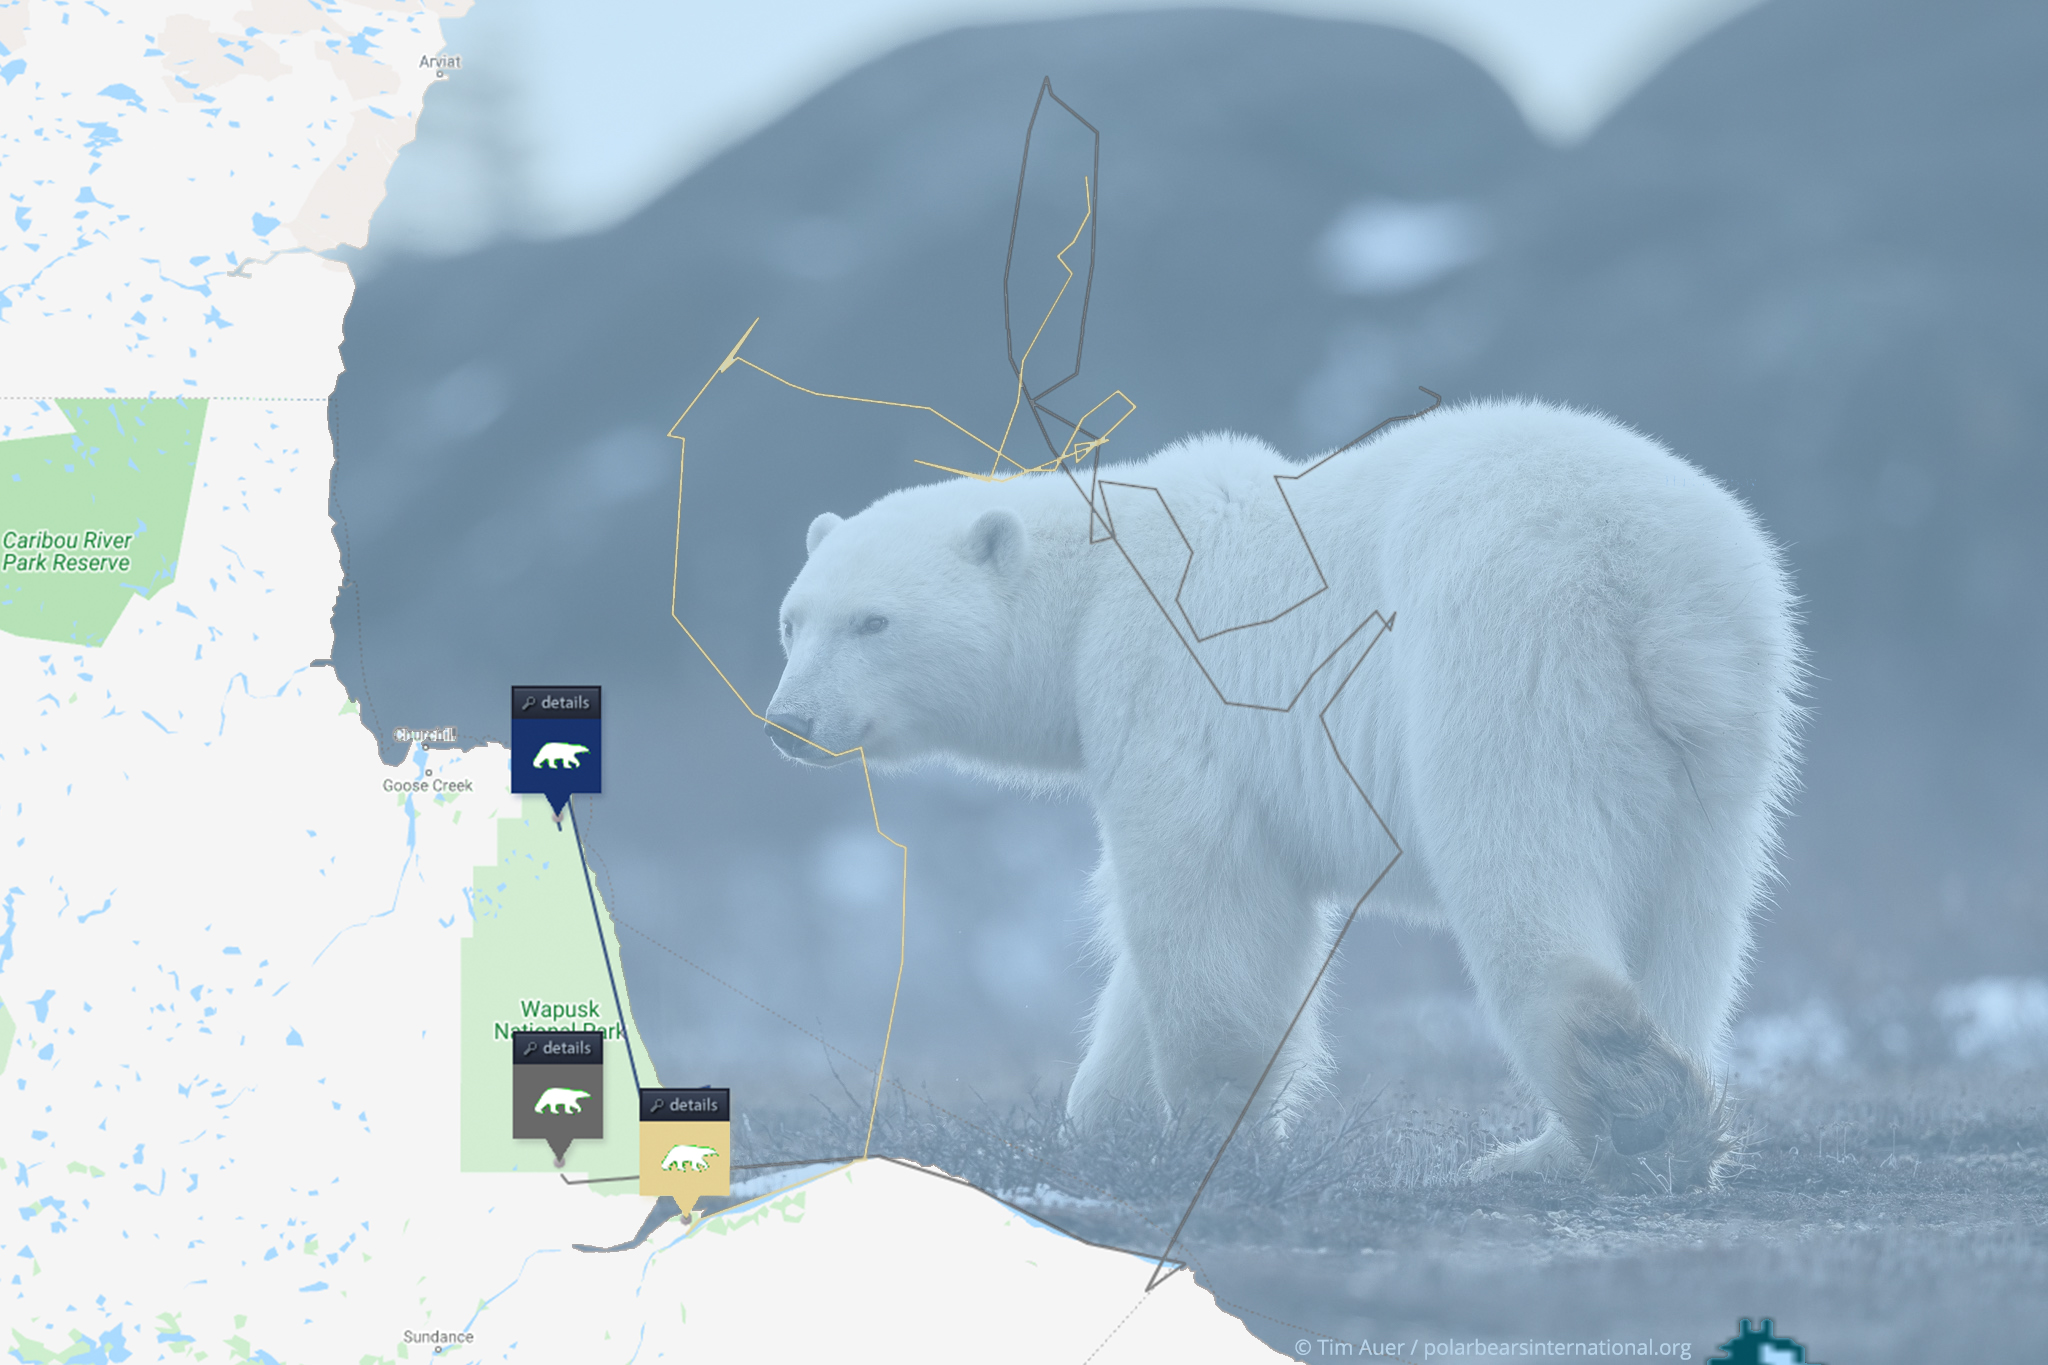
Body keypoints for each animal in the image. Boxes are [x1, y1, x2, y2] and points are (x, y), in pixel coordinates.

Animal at [764, 398, 1803, 1190]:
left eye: (873, 621)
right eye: (791, 619)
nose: (788, 720)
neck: (1098, 581)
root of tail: (1655, 584)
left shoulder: (1172, 694)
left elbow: (1205, 902)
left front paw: (1208, 1128)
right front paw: (1105, 1125)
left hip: (1506, 649)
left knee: (1521, 859)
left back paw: (1600, 1127)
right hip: (1719, 738)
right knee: (1695, 920)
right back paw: (1602, 1137)